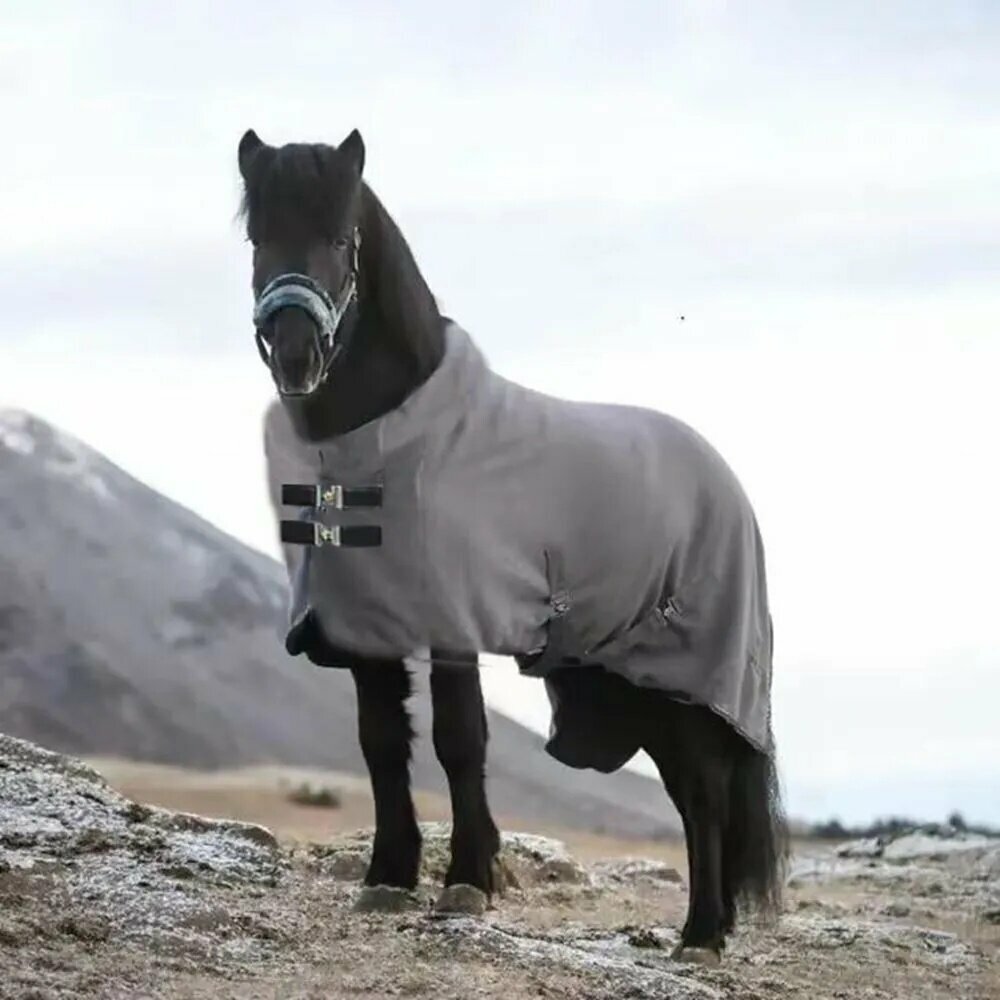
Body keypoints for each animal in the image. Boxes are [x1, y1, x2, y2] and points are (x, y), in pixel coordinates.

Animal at [236, 127, 787, 963]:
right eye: (257, 237)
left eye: (339, 239)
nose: (296, 353)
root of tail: (726, 483)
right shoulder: (365, 631)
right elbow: (380, 742)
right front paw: (388, 876)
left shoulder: (454, 622)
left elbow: (460, 738)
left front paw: (467, 879)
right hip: (642, 685)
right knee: (698, 795)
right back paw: (712, 926)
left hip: (686, 678)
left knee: (702, 792)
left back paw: (699, 934)